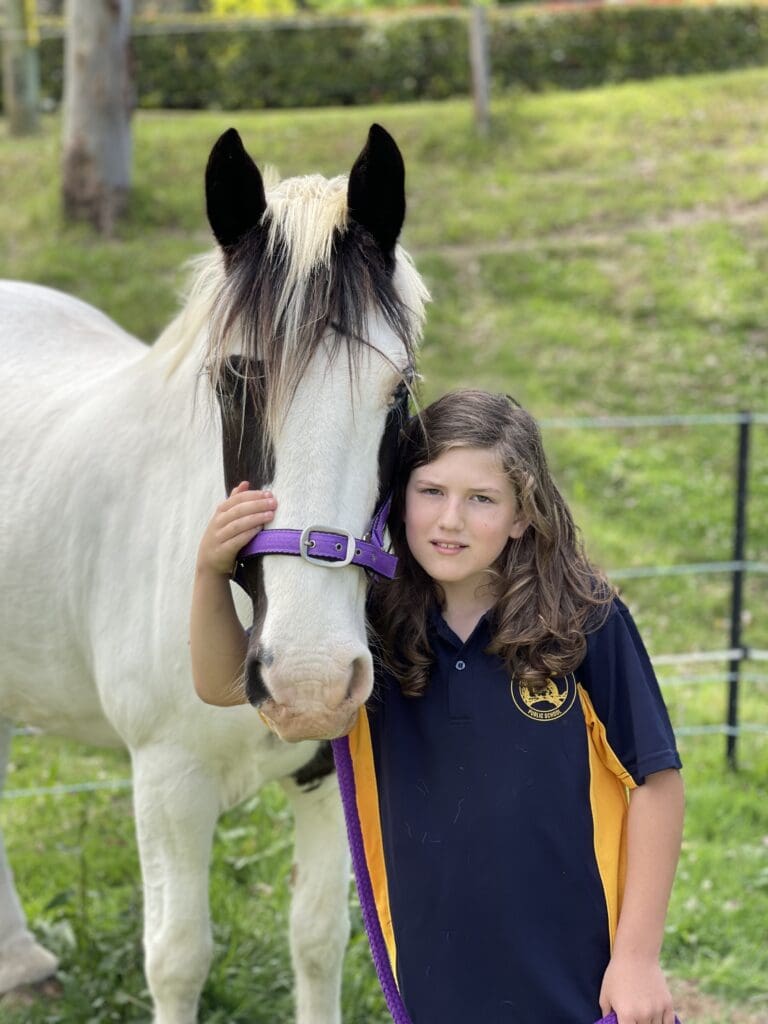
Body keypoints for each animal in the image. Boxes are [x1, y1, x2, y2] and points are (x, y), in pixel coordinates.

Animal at [0, 123, 429, 1024]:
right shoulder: (170, 784)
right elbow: (178, 958)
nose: (306, 680)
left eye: (399, 389)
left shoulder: (325, 782)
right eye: (235, 376)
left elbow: (317, 940)